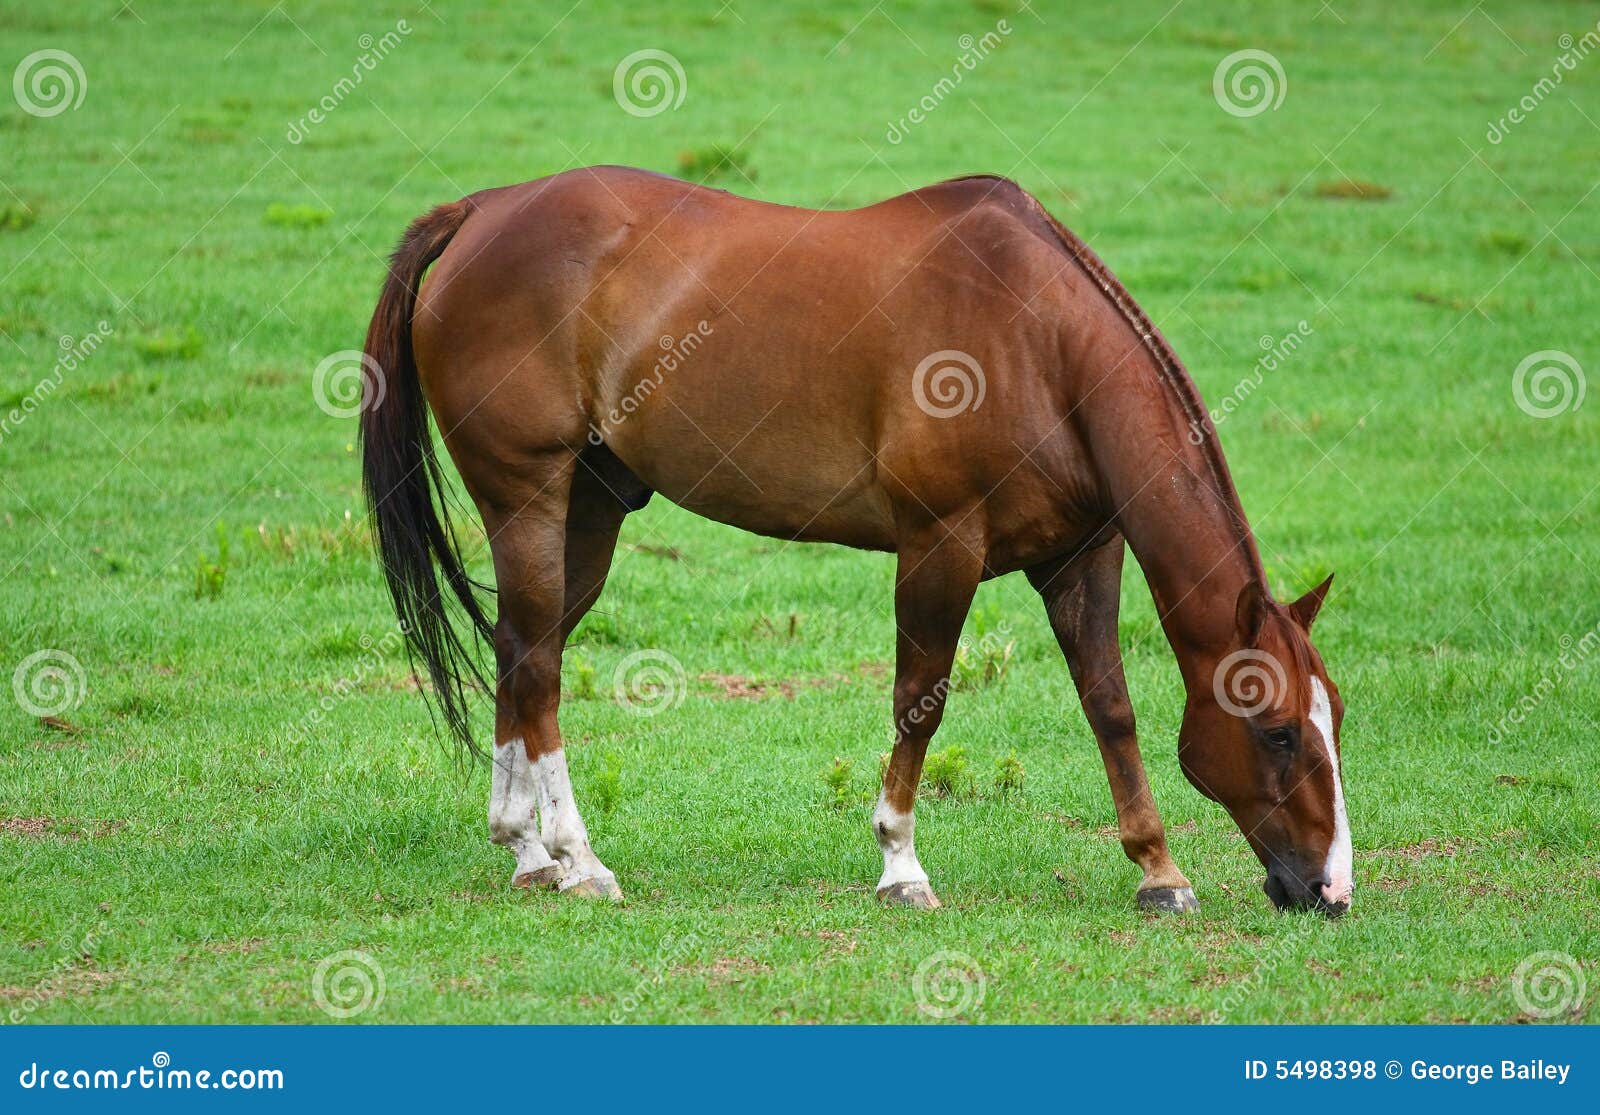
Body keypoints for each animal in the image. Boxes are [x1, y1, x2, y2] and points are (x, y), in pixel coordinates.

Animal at [359, 165, 1352, 916]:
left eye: (1334, 720)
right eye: (1276, 734)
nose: (1329, 890)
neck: (1036, 340)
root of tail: (486, 208)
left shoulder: (1081, 557)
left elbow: (1109, 704)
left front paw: (1157, 868)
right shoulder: (940, 544)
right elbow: (922, 700)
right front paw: (900, 863)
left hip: (591, 511)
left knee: (524, 649)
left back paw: (527, 849)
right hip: (527, 499)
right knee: (535, 662)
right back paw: (576, 855)